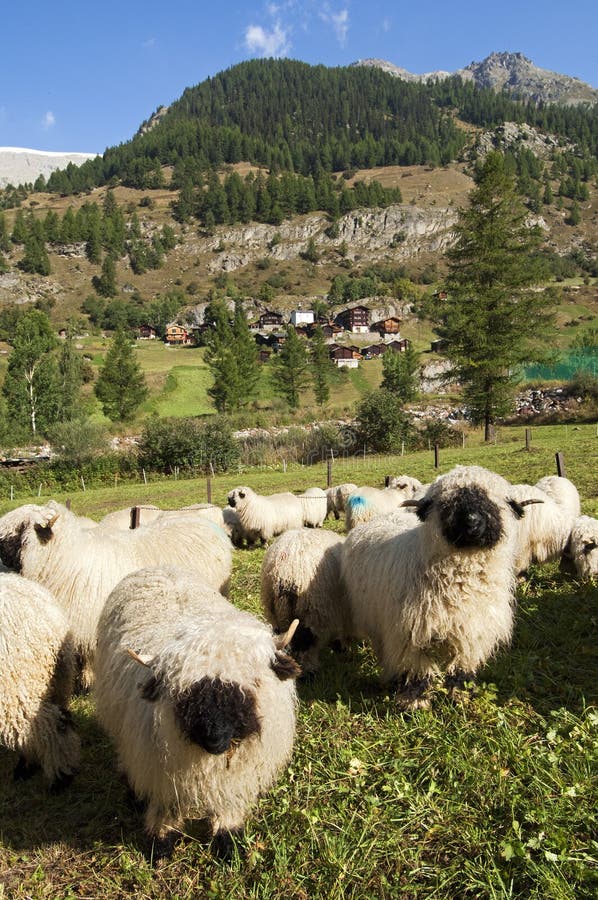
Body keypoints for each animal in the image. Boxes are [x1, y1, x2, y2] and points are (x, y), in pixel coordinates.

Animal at [0, 501, 233, 689]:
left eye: (17, 530)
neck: (67, 561)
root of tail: (201, 520)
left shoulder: (92, 623)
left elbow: (90, 656)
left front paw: (87, 682)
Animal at [94, 566, 300, 860]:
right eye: (181, 693)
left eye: (253, 683)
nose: (214, 738)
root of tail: (159, 567)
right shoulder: (160, 771)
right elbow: (165, 806)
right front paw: (161, 841)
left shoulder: (235, 773)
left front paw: (228, 839)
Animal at [341, 465, 537, 709]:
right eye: (448, 502)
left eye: (493, 500)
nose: (471, 522)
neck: (462, 583)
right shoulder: (408, 634)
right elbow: (414, 670)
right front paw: (413, 701)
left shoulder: (473, 631)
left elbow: (462, 668)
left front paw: (459, 694)